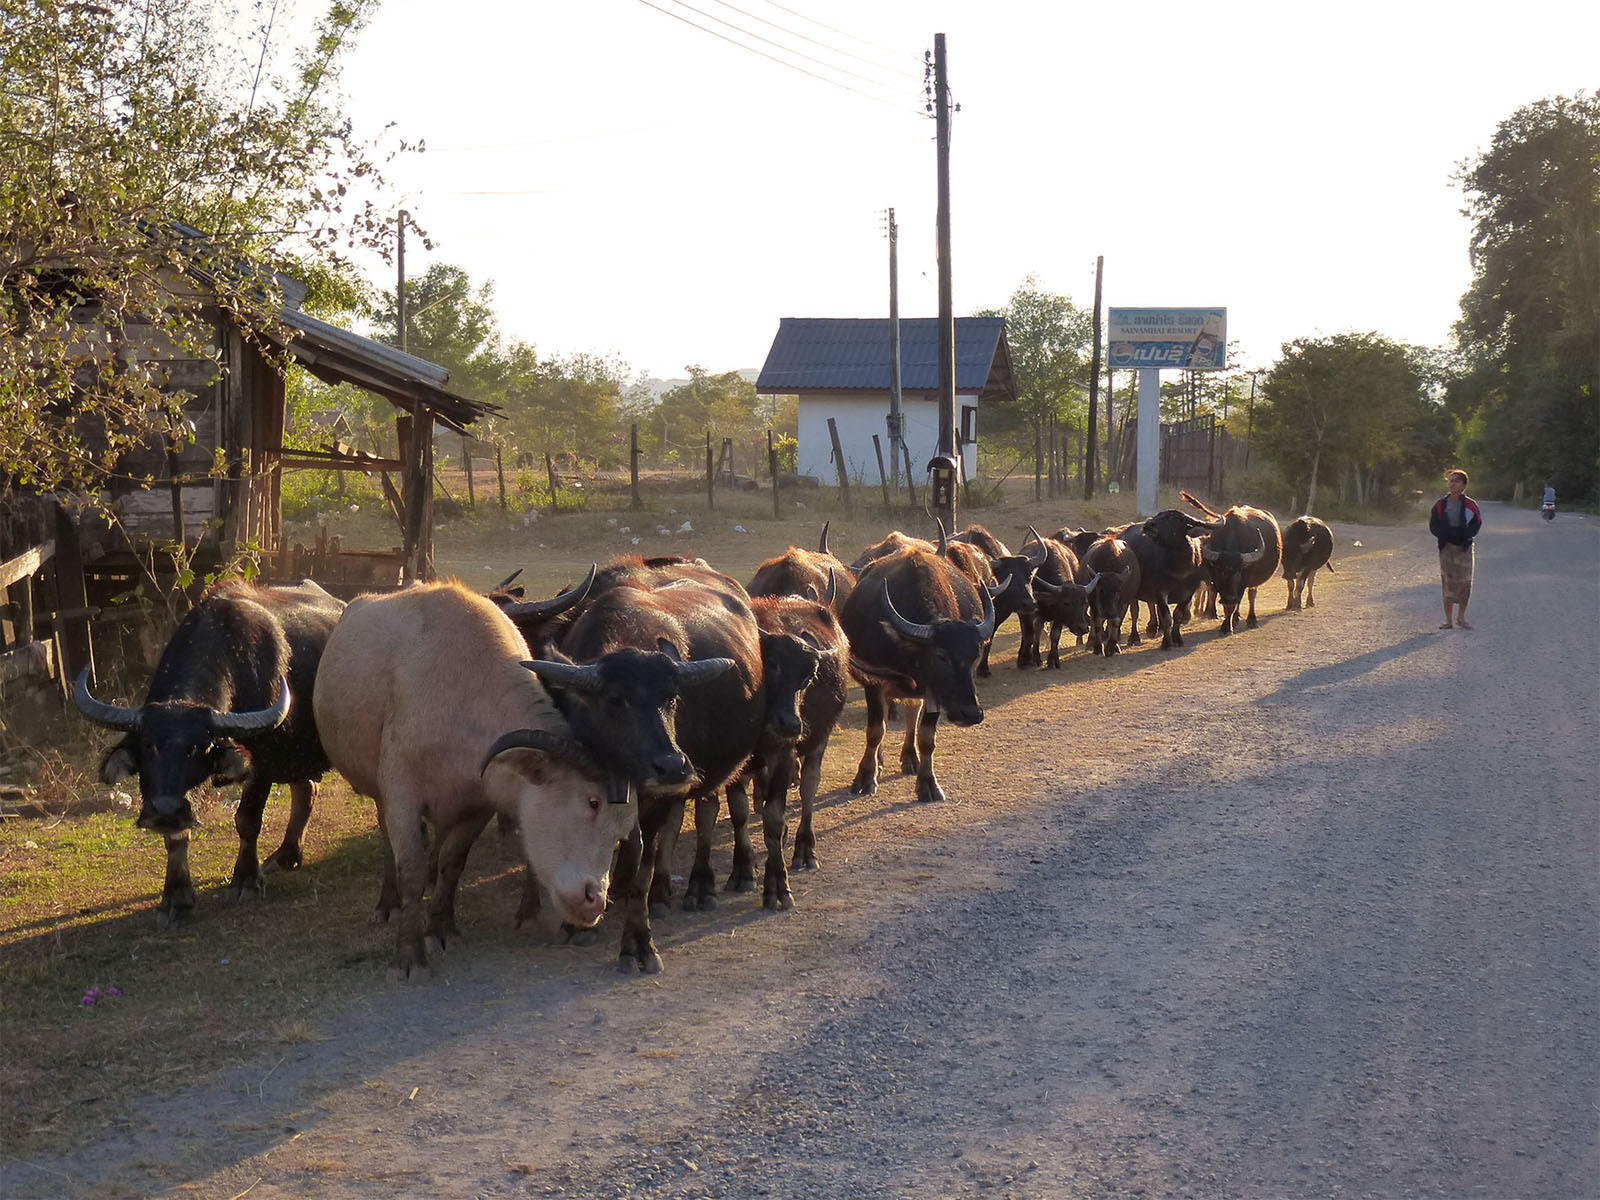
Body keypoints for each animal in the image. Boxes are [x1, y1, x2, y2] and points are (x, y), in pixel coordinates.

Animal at [73, 579, 345, 927]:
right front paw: (176, 898)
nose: (165, 812)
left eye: (200, 747)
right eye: (148, 745)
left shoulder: (262, 763)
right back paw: (286, 856)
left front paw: (245, 881)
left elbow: (247, 820)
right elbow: (176, 837)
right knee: (307, 788)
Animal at [311, 582, 636, 981]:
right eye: (592, 802)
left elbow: (453, 862)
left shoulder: (479, 803)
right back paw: (388, 903)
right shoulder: (401, 794)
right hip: (377, 791)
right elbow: (411, 869)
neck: (464, 697)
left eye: (622, 830)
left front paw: (441, 927)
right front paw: (409, 955)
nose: (594, 901)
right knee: (389, 841)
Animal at [725, 595, 849, 910]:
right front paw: (743, 870)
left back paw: (804, 850)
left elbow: (773, 817)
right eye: (771, 664)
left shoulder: (783, 757)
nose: (791, 724)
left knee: (808, 789)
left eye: (809, 677)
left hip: (818, 742)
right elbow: (739, 812)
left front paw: (777, 886)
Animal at [839, 544, 999, 805]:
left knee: (912, 712)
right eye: (941, 655)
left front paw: (928, 784)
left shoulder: (934, 692)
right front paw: (865, 777)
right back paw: (880, 762)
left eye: (975, 654)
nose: (971, 714)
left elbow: (926, 737)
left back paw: (910, 758)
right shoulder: (873, 684)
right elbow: (875, 731)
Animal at [1181, 491, 1284, 633]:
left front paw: (1227, 626)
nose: (1230, 597)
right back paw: (1235, 617)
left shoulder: (1244, 579)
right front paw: (1226, 623)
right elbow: (1223, 601)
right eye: (1220, 571)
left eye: (1239, 571)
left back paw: (1251, 619)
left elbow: (1235, 602)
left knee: (1251, 594)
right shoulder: (1217, 582)